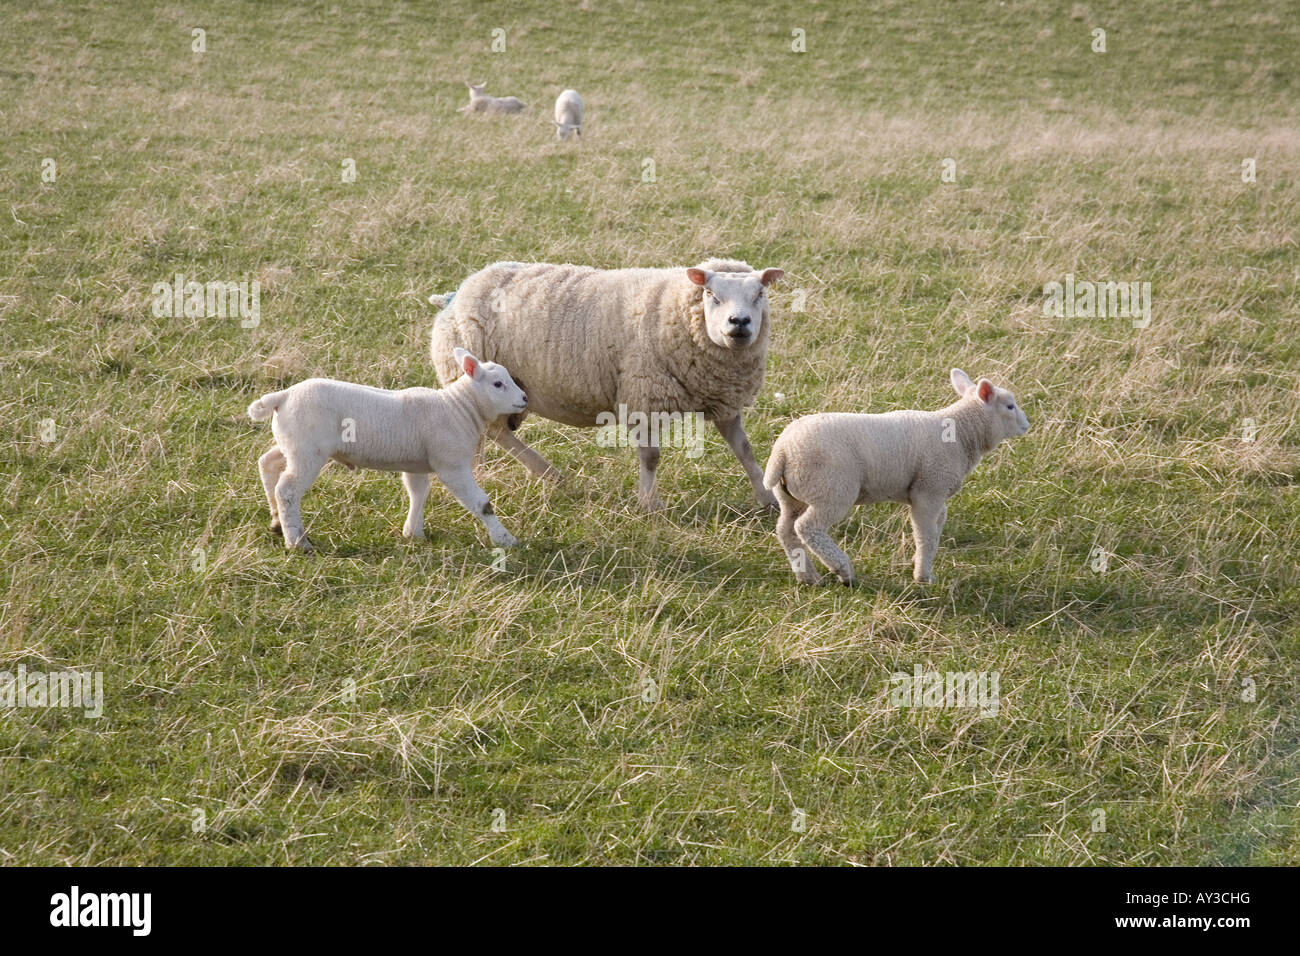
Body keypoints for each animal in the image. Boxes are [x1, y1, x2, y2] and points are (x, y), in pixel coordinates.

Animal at [246, 349, 528, 553]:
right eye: (498, 384)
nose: (524, 398)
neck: (457, 407)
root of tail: (283, 396)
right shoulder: (452, 464)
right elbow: (482, 504)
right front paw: (505, 539)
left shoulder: (417, 463)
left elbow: (418, 493)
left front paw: (414, 533)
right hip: (308, 451)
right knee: (288, 490)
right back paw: (297, 542)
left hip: (292, 443)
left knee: (268, 464)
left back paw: (277, 523)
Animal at [428, 259, 785, 511]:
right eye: (712, 295)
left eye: (760, 295)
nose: (739, 322)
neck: (671, 310)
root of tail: (456, 294)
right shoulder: (645, 397)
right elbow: (651, 457)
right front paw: (649, 504)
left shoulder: (724, 401)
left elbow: (744, 449)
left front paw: (767, 498)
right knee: (495, 433)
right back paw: (544, 472)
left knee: (492, 432)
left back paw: (508, 470)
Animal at [763, 369, 1030, 586]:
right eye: (1009, 406)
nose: (1027, 424)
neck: (962, 433)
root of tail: (782, 452)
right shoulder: (928, 490)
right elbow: (926, 535)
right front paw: (923, 576)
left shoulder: (935, 493)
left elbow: (937, 527)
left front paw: (920, 564)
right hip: (831, 489)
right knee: (808, 528)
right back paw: (843, 569)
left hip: (793, 495)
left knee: (786, 530)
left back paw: (808, 577)